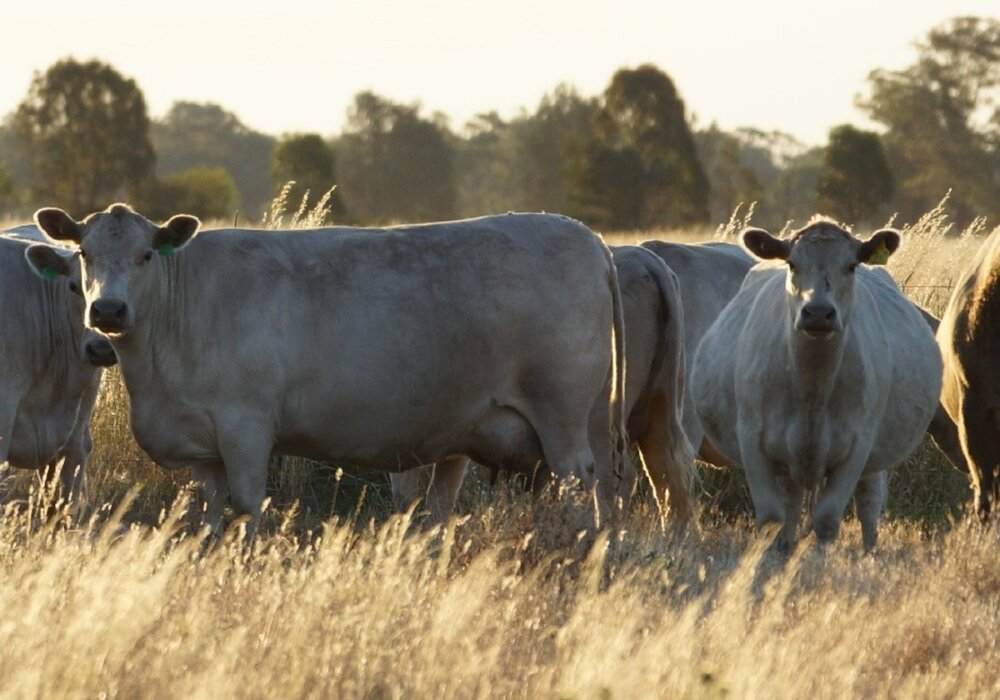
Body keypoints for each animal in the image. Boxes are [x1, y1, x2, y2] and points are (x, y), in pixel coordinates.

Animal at [26, 204, 628, 533]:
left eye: (147, 255)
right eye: (84, 255)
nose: (108, 310)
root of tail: (589, 238)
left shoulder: (246, 426)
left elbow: (247, 507)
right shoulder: (203, 445)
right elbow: (212, 513)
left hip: (562, 416)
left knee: (579, 487)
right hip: (566, 425)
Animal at [391, 245, 696, 524]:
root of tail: (641, 258)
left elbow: (412, 488)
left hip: (595, 415)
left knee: (612, 475)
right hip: (661, 401)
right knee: (668, 471)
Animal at [691, 220, 941, 550]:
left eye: (851, 266)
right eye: (792, 263)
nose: (819, 312)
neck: (812, 389)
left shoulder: (857, 446)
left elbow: (826, 519)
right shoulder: (752, 441)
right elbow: (771, 518)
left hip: (874, 459)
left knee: (869, 503)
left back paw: (869, 552)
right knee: (792, 504)